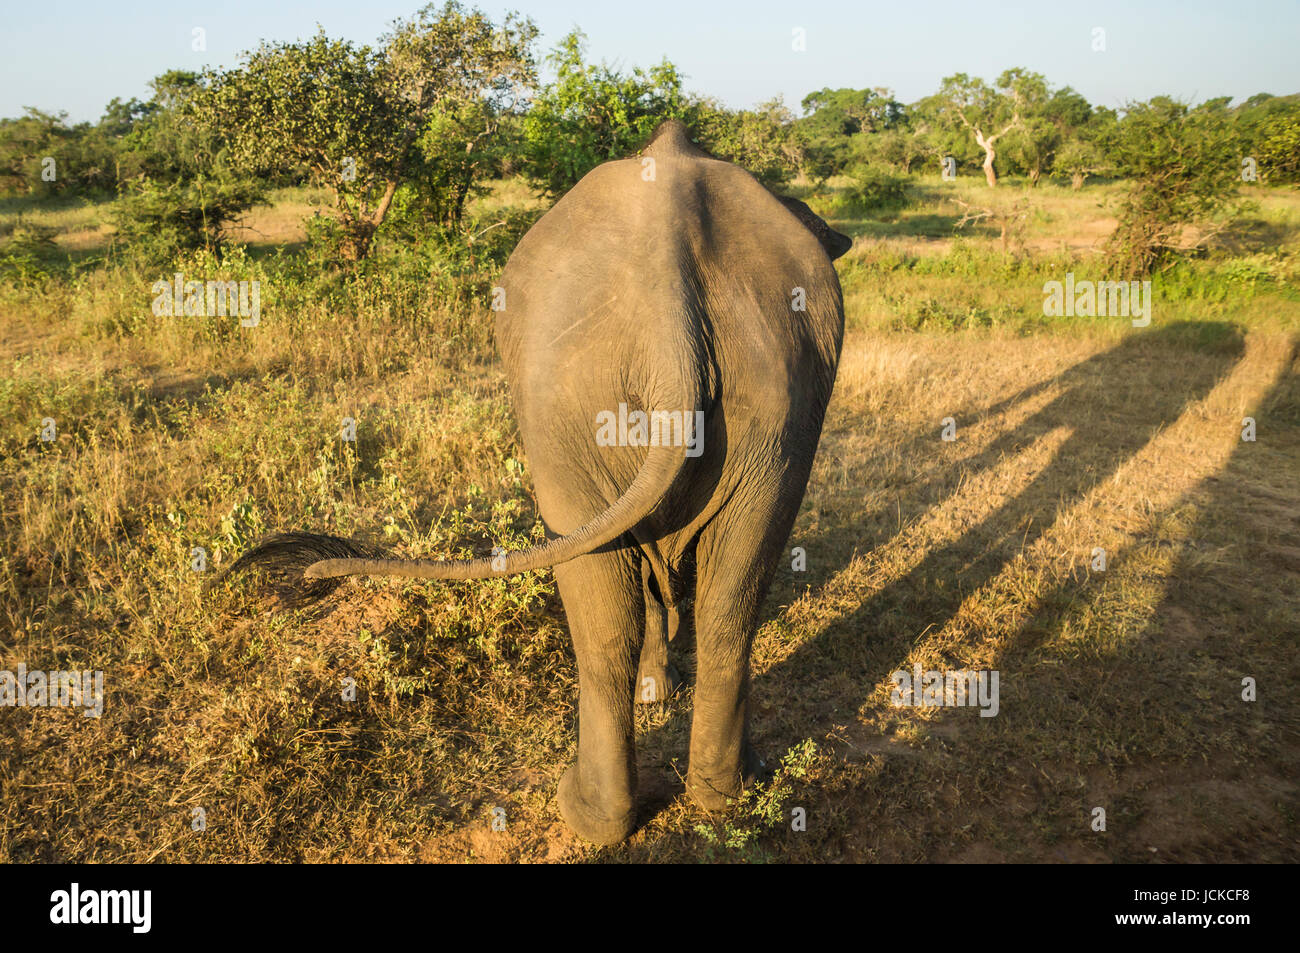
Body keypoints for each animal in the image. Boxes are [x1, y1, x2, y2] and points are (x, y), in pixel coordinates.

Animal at [213, 119, 851, 845]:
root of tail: (673, 330)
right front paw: (663, 688)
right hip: (772, 403)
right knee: (728, 607)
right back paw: (727, 789)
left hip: (565, 417)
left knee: (603, 615)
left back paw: (587, 811)